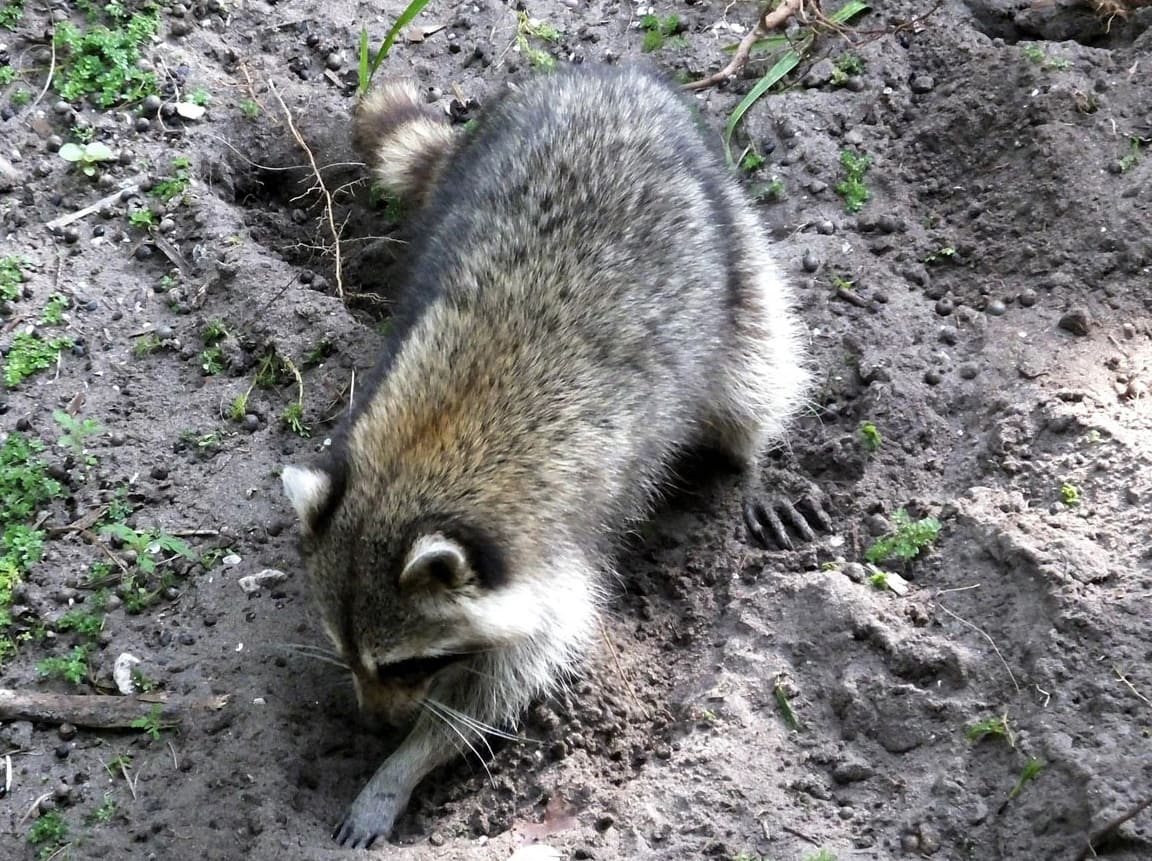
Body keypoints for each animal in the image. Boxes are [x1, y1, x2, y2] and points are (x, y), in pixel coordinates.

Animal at [281, 64, 818, 848]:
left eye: (410, 663)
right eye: (346, 652)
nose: (375, 725)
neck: (423, 456)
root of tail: (606, 77)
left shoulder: (555, 561)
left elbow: (502, 686)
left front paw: (406, 764)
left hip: (733, 243)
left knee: (755, 368)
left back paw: (752, 458)